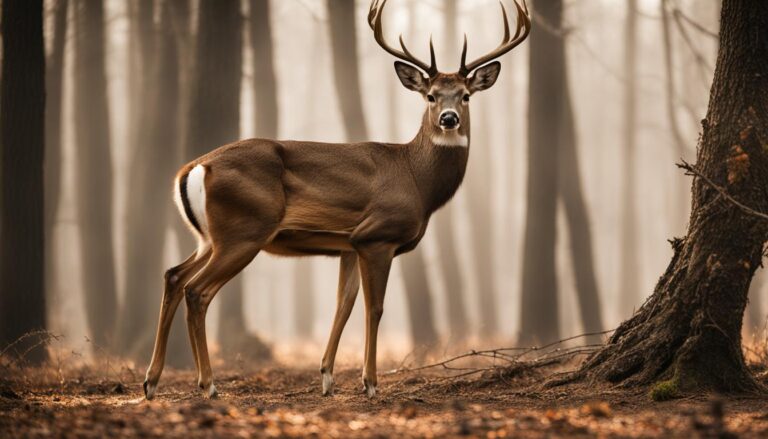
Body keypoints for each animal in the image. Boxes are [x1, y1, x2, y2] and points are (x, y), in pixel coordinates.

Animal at [143, 0, 530, 401]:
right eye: (430, 95)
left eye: (466, 95)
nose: (449, 118)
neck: (417, 181)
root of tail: (193, 168)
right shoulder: (377, 237)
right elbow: (374, 308)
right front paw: (370, 383)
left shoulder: (347, 245)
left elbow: (343, 305)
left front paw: (327, 377)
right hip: (244, 231)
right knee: (197, 291)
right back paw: (208, 384)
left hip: (208, 237)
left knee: (173, 276)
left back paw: (152, 381)